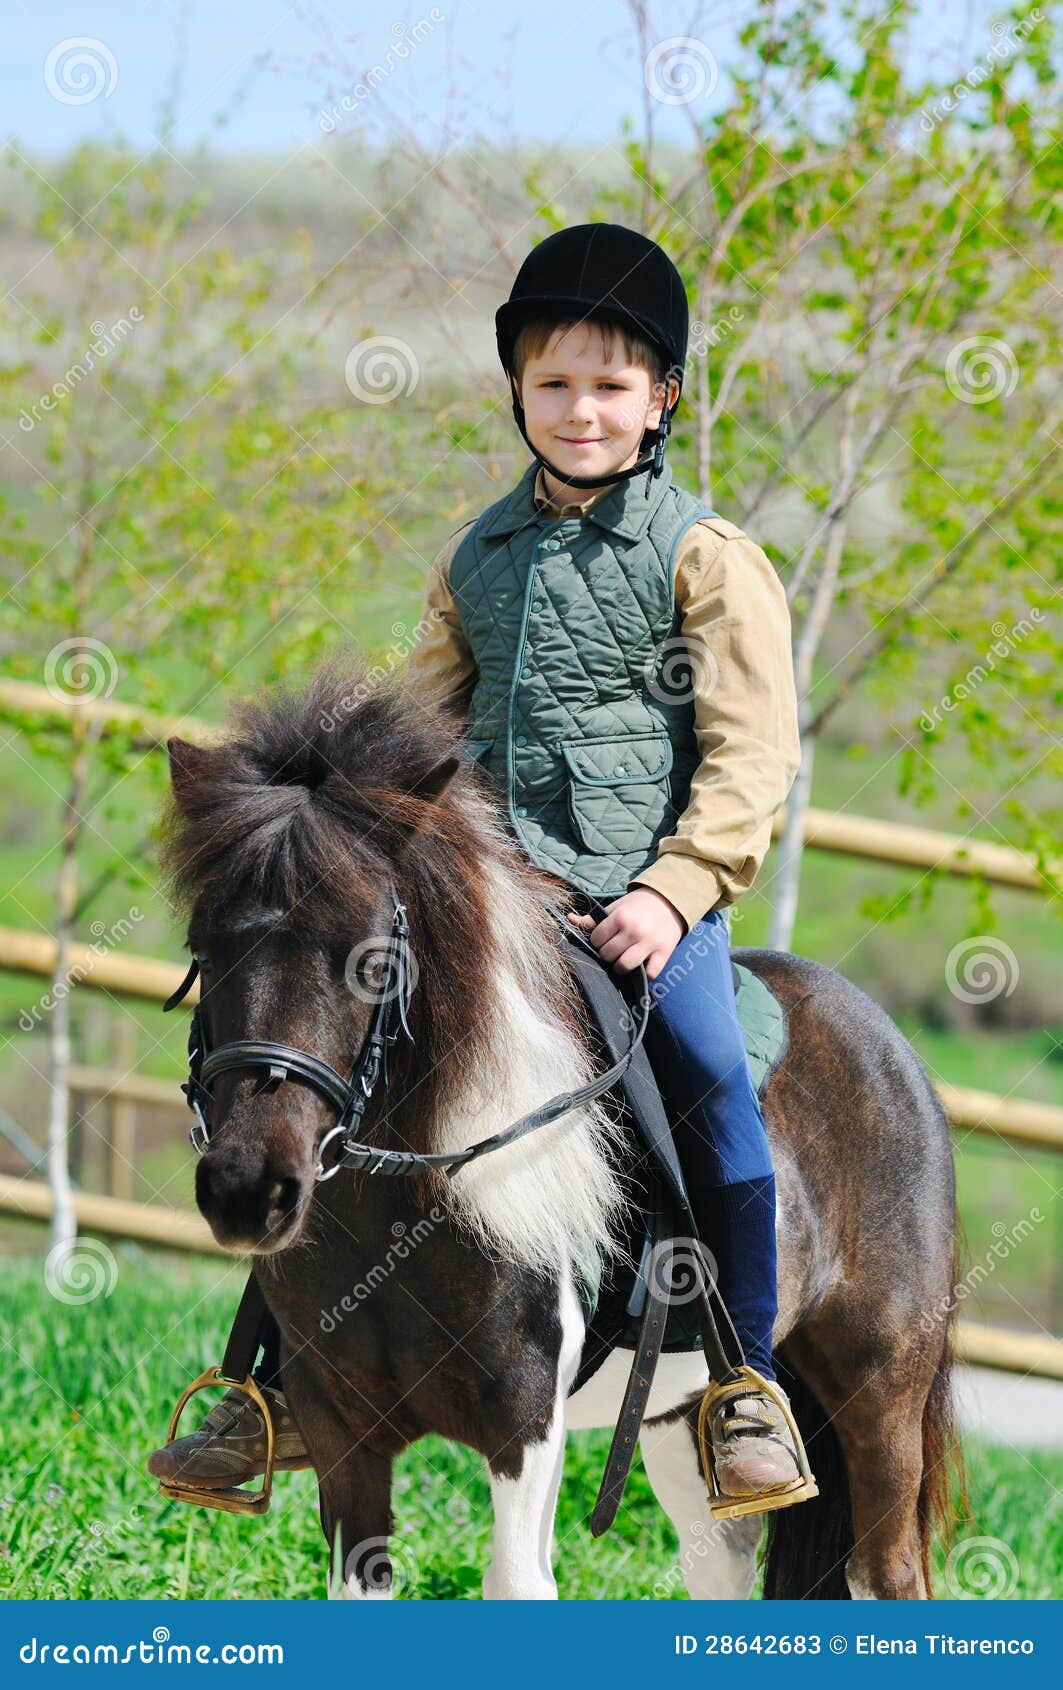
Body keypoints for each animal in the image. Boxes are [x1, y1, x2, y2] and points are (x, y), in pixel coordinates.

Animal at [158, 660, 959, 1601]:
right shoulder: (341, 1436)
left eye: (374, 961)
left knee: (886, 1570)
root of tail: (885, 1045)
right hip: (677, 1425)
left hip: (880, 1401)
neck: (411, 1210)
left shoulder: (522, 1425)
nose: (249, 1191)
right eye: (203, 947)